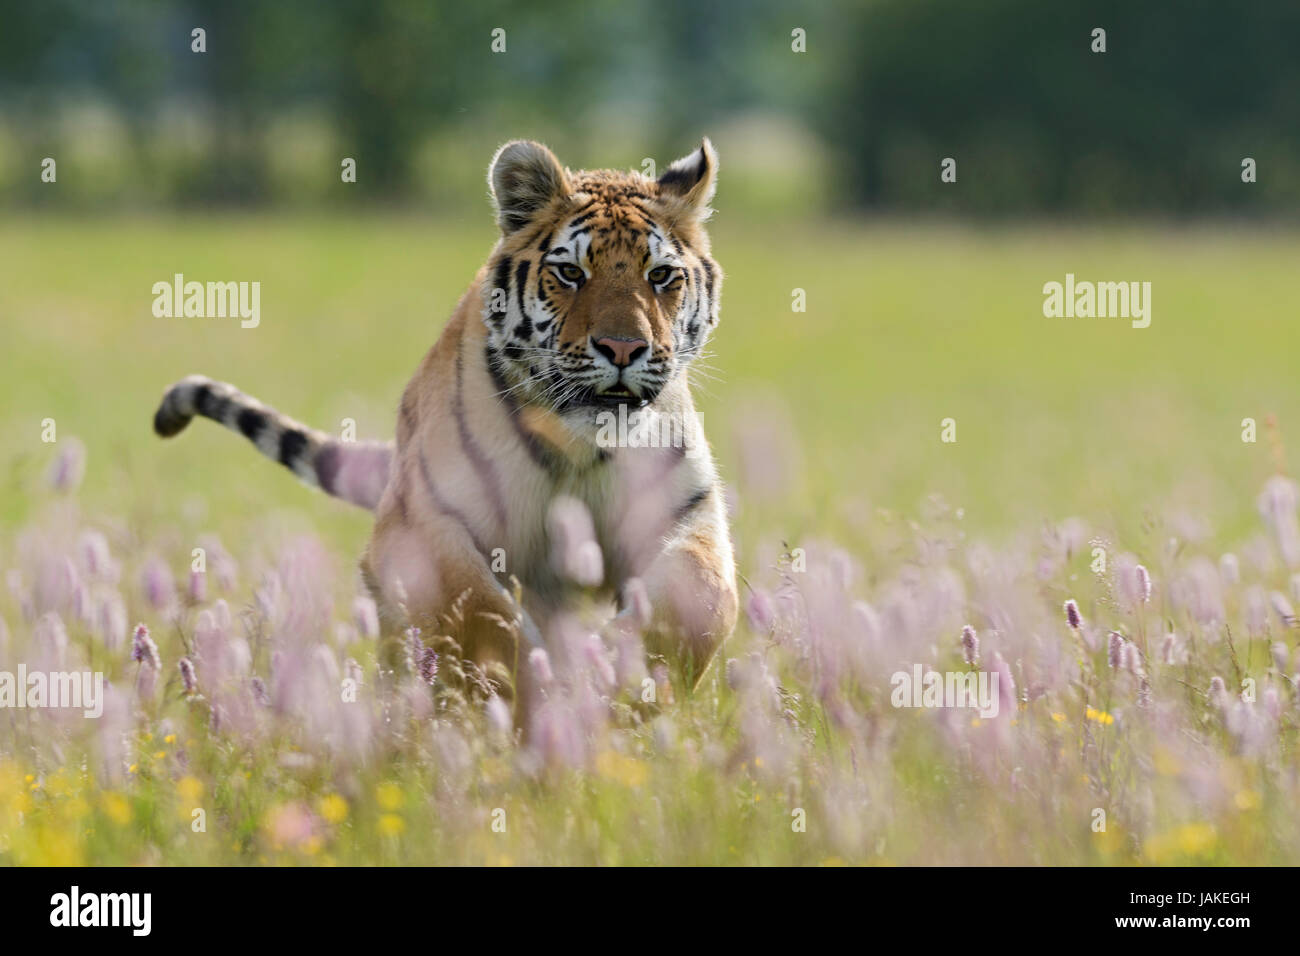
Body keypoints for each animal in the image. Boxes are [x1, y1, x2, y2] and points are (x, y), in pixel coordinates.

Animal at [152, 139, 737, 715]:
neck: (578, 446)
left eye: (660, 276)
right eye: (571, 273)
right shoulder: (422, 521)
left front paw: (621, 676)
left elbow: (702, 594)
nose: (622, 348)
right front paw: (535, 693)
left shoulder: (684, 512)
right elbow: (482, 615)